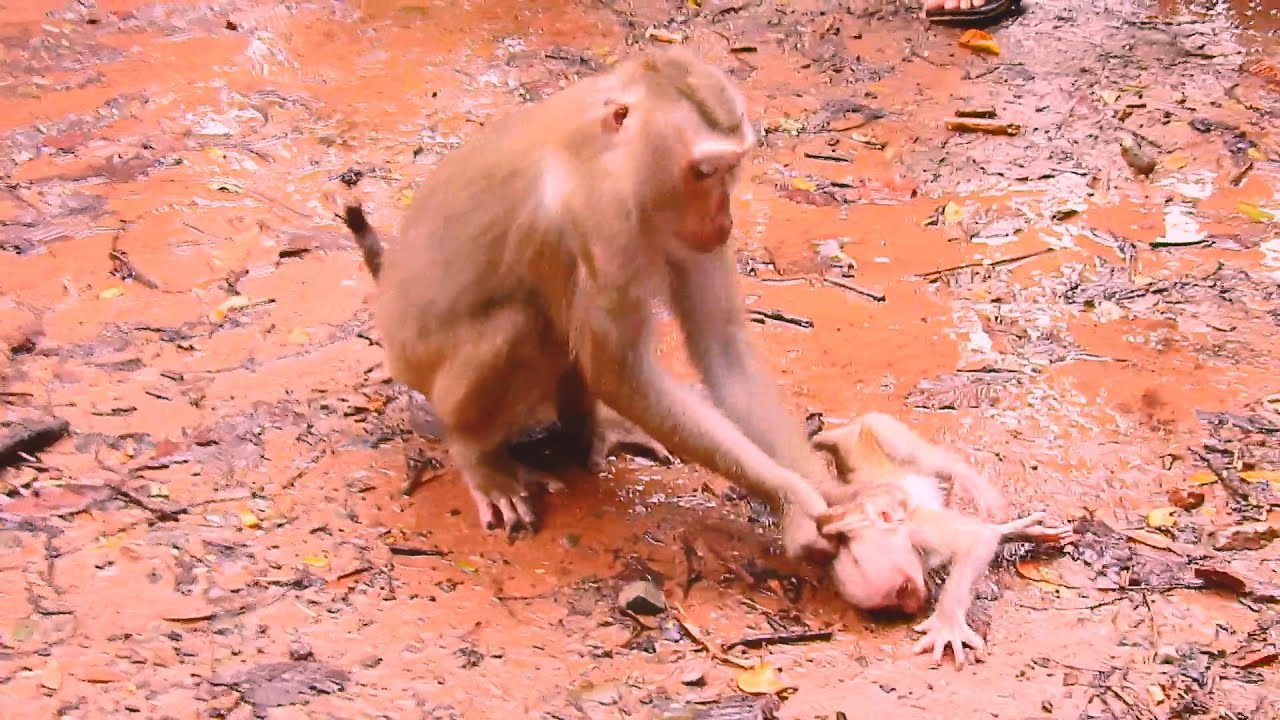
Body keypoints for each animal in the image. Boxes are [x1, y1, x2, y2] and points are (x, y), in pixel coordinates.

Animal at [341, 46, 838, 560]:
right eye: (703, 172)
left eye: (730, 168)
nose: (724, 217)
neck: (610, 153)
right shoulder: (604, 217)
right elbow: (621, 374)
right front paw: (792, 500)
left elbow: (722, 350)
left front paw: (830, 488)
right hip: (426, 370)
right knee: (524, 323)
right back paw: (478, 455)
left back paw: (589, 426)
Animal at [809, 413, 1073, 668]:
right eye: (890, 606)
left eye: (903, 588)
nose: (914, 606)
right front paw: (1019, 531)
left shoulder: (917, 528)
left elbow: (976, 539)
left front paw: (947, 624)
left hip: (883, 431)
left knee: (927, 459)